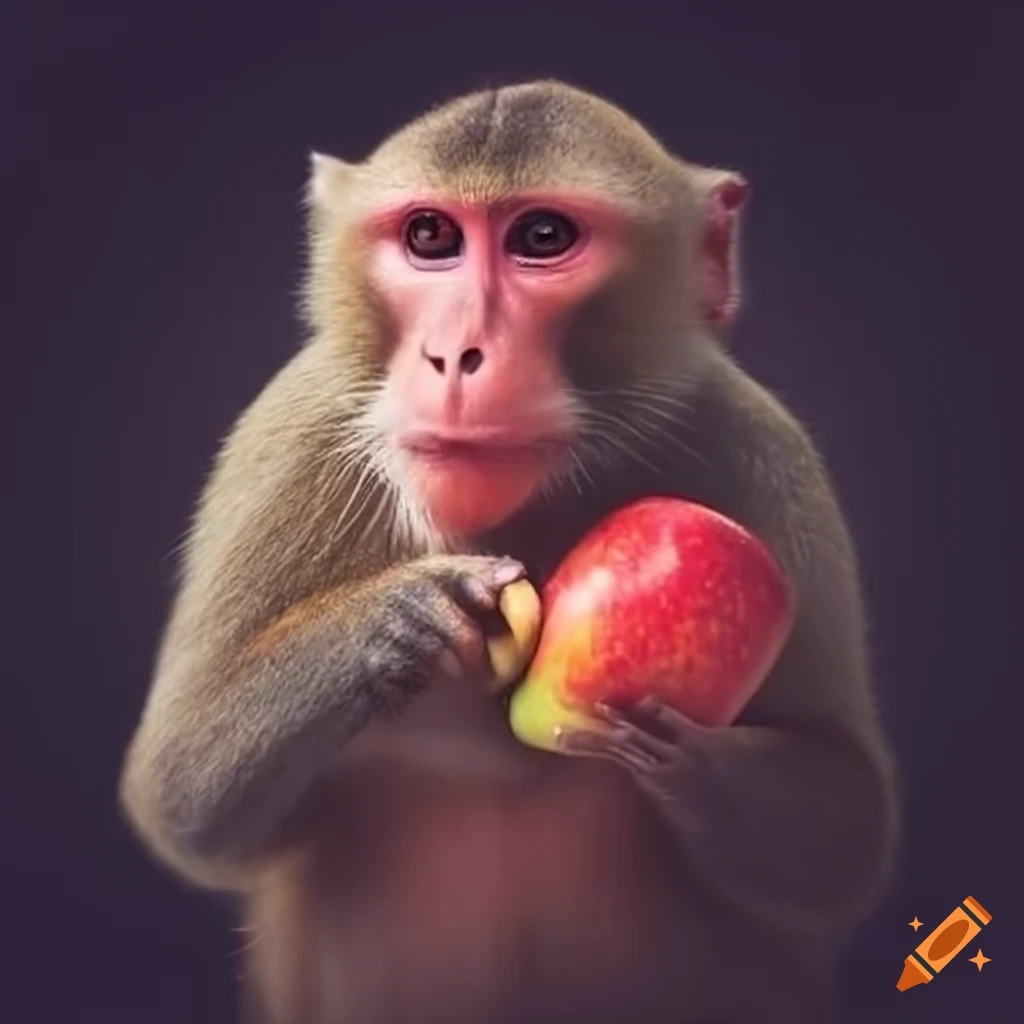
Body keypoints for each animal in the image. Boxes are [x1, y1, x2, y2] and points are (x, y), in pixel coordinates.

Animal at [119, 80, 899, 1024]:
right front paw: (395, 621)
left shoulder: (761, 448)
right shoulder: (293, 436)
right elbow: (179, 795)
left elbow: (844, 824)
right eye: (429, 237)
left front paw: (677, 750)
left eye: (543, 238)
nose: (456, 355)